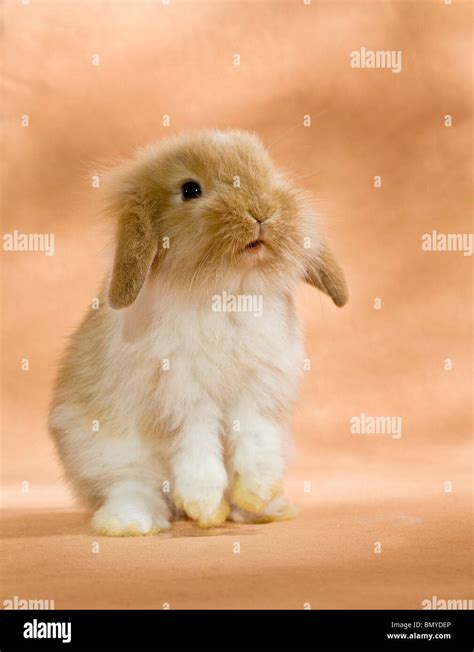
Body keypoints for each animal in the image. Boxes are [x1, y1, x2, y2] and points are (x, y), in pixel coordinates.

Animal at [49, 129, 348, 536]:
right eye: (190, 190)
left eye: (268, 172)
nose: (261, 211)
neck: (228, 291)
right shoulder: (181, 398)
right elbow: (197, 453)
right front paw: (206, 510)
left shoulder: (258, 391)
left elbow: (256, 444)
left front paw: (255, 494)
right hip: (102, 451)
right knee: (131, 486)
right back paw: (131, 522)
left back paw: (266, 510)